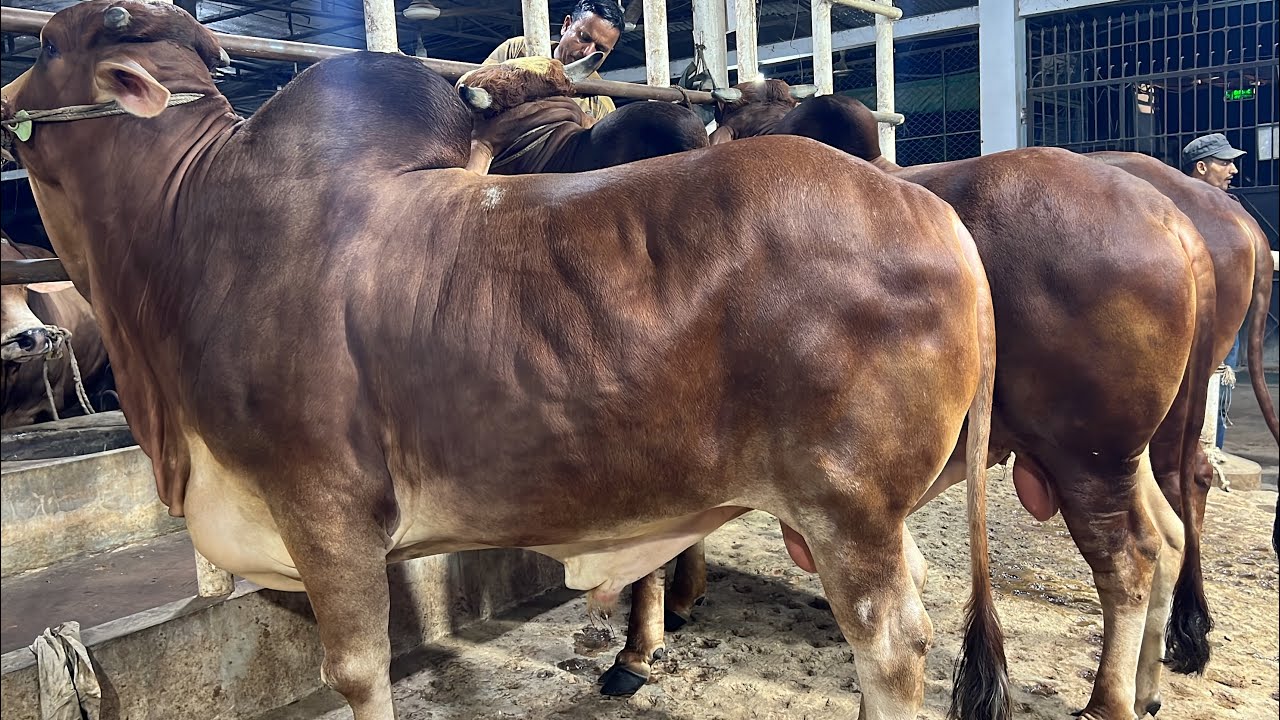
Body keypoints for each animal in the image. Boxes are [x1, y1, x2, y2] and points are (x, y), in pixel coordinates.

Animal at [631, 84, 1221, 719]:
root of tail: (1168, 217)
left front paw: (652, 632)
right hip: (1127, 451)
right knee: (1170, 537)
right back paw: (1146, 686)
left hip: (1090, 456)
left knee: (1130, 559)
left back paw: (1110, 699)